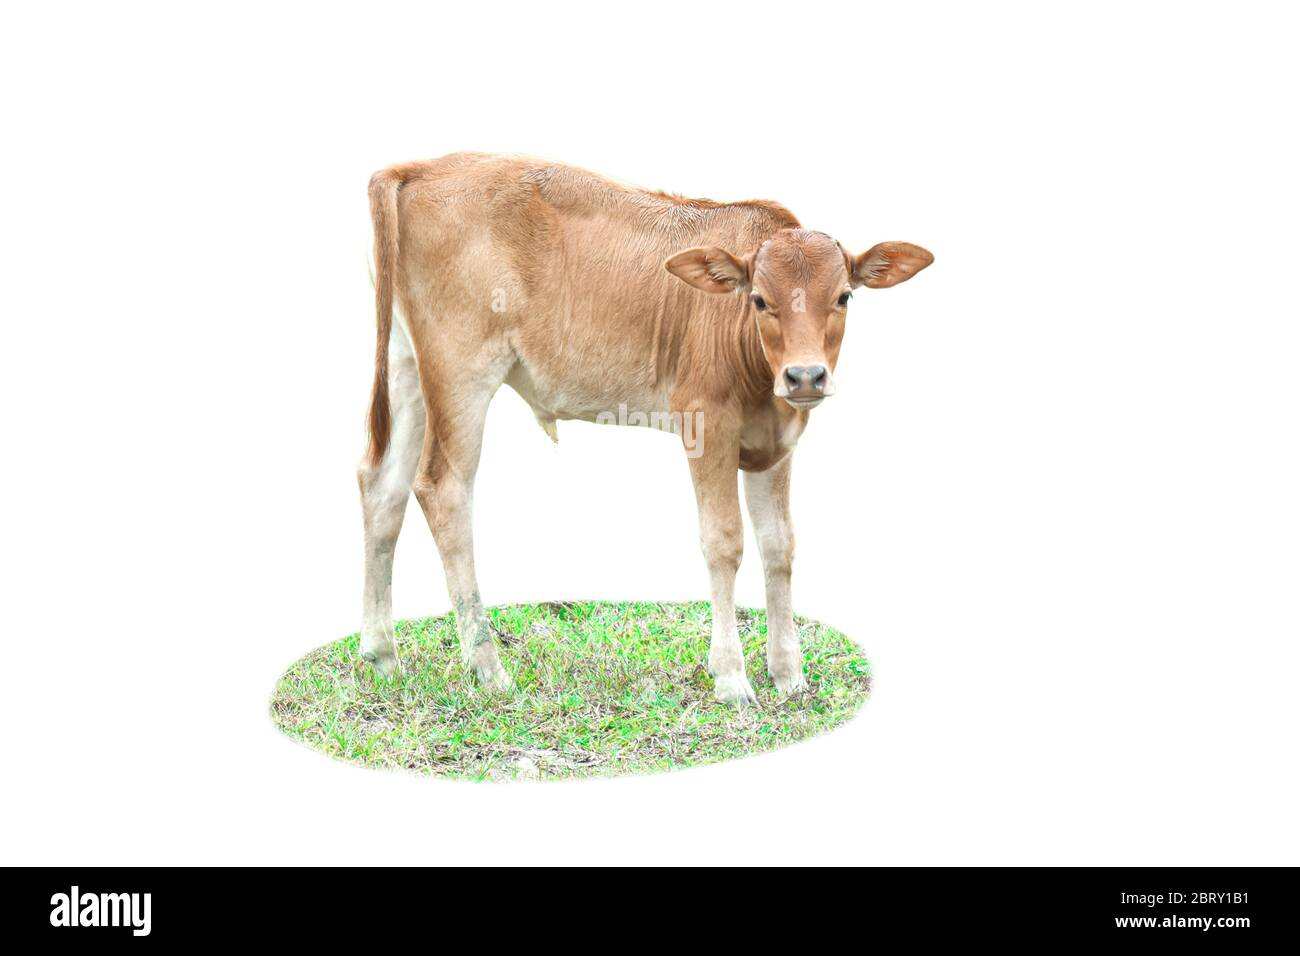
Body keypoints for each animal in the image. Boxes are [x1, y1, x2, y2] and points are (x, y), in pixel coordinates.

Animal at [357, 153, 932, 705]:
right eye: (759, 300)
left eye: (844, 297)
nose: (805, 375)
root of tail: (418, 168)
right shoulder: (705, 420)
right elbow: (725, 541)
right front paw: (731, 677)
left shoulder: (777, 442)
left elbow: (780, 546)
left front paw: (789, 675)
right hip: (462, 371)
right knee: (444, 489)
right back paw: (489, 668)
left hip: (408, 367)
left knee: (381, 485)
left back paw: (382, 654)